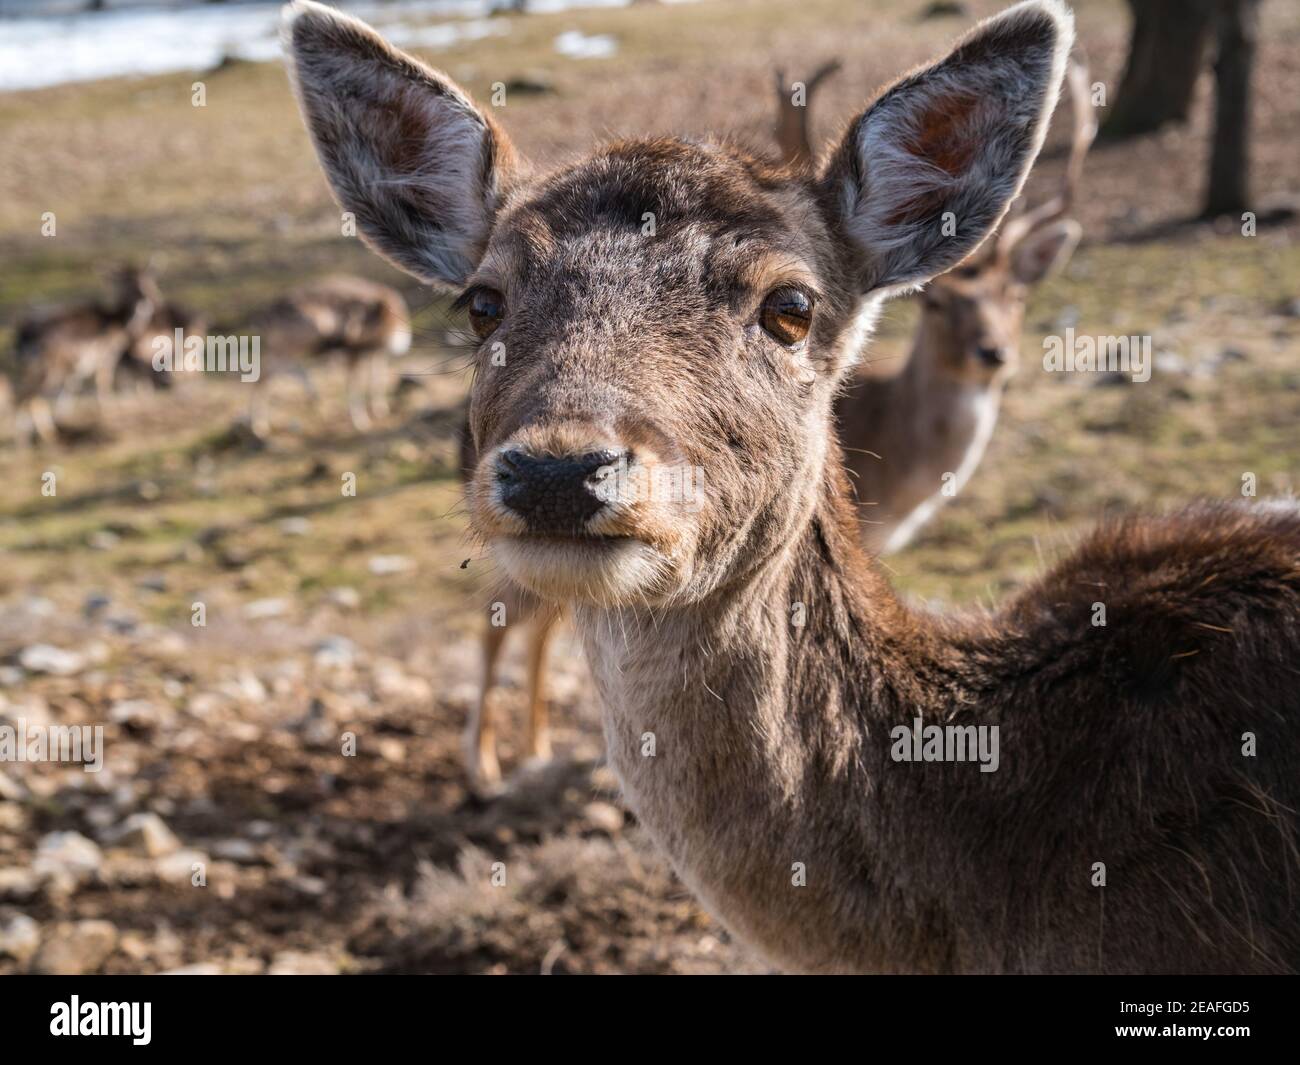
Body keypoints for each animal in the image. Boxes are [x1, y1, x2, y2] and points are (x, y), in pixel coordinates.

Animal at [5, 264, 161, 445]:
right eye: (129, 283)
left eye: (147, 279)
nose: (148, 298)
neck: (120, 326)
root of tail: (20, 336)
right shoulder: (105, 355)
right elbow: (103, 383)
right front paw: (108, 411)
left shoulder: (79, 365)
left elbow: (72, 387)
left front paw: (64, 415)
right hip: (49, 367)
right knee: (29, 397)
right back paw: (39, 436)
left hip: (30, 368)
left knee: (25, 395)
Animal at [240, 275, 411, 436]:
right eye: (358, 316)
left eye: (363, 317)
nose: (348, 334)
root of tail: (261, 318)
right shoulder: (354, 353)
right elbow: (353, 385)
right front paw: (360, 422)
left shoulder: (374, 353)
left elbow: (377, 379)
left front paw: (380, 410)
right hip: (296, 343)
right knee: (265, 374)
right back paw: (258, 426)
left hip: (287, 348)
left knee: (276, 371)